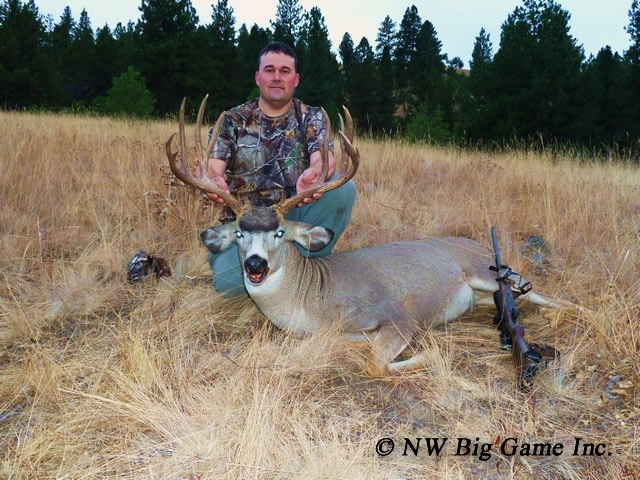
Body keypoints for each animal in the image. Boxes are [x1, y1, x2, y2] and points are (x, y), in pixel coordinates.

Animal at [166, 96, 579, 378]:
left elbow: (374, 365)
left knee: (543, 293)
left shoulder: (397, 317)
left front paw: (430, 355)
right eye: (238, 233)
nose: (255, 264)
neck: (312, 302)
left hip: (485, 271)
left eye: (280, 233)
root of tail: (475, 242)